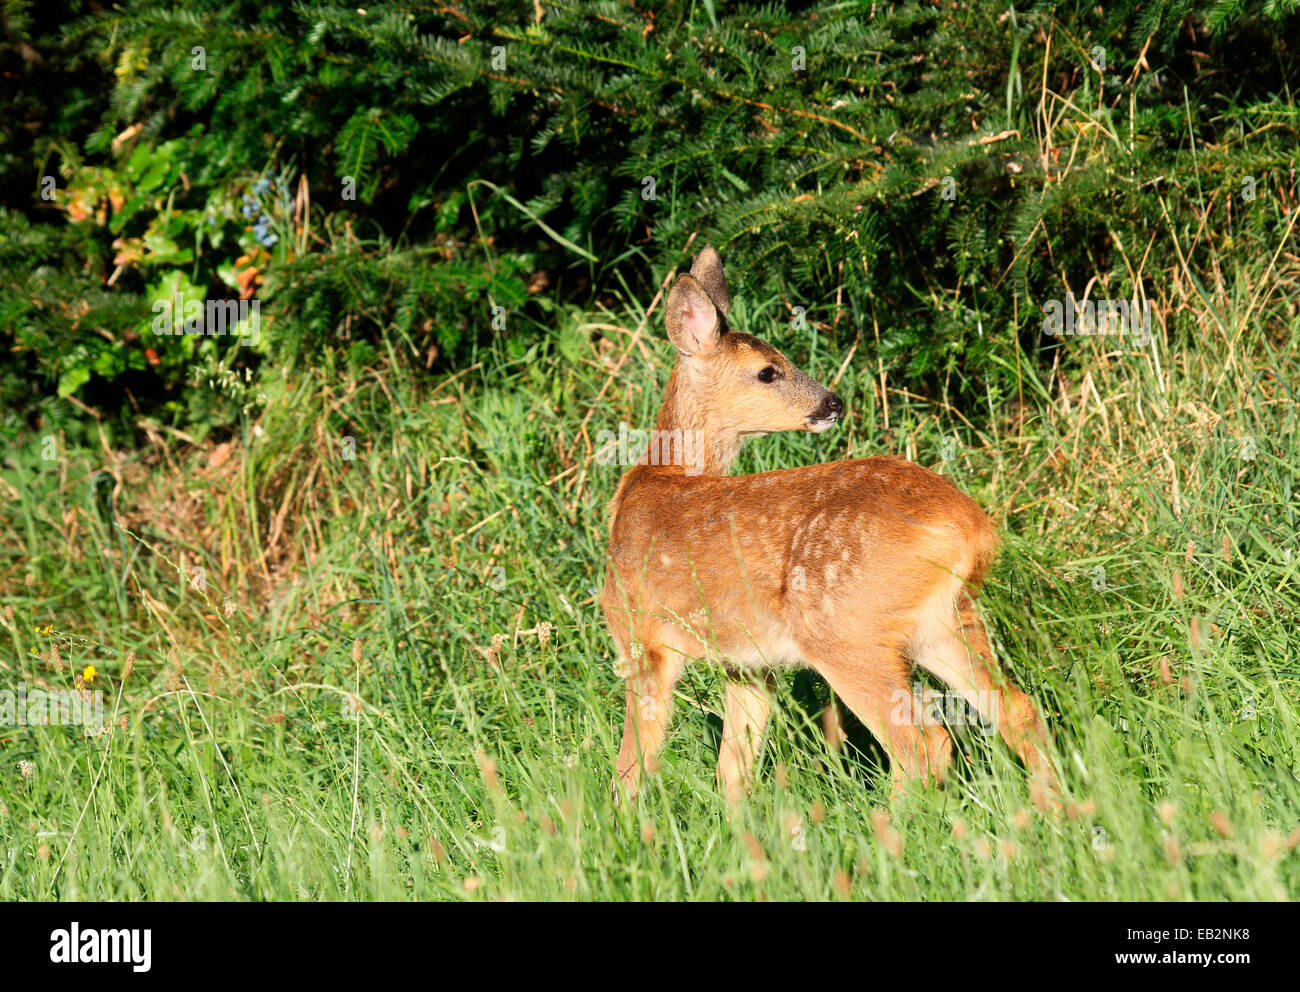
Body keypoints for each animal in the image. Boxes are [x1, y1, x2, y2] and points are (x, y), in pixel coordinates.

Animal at [600, 245, 1055, 806]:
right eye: (768, 372)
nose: (833, 403)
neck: (660, 476)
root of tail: (972, 527)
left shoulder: (640, 636)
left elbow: (632, 764)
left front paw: (623, 823)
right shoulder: (748, 662)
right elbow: (733, 768)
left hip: (844, 628)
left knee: (922, 744)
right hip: (945, 619)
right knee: (1017, 708)